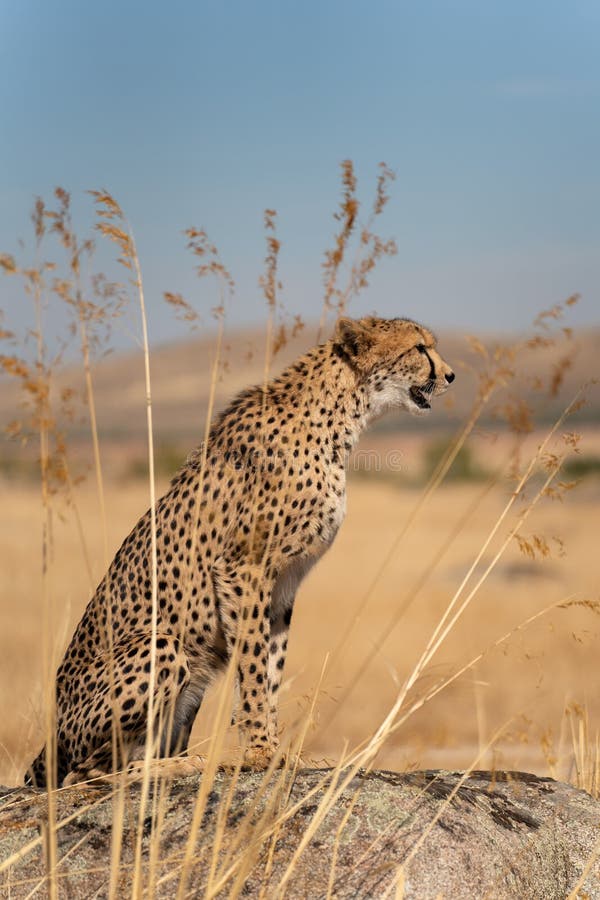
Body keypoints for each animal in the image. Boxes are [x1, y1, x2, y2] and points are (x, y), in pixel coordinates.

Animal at [27, 315, 455, 786]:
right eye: (419, 348)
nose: (451, 375)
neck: (340, 413)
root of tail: (53, 736)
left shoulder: (284, 582)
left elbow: (271, 666)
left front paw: (278, 751)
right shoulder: (243, 568)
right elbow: (252, 666)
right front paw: (258, 753)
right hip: (160, 647)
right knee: (94, 773)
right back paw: (190, 763)